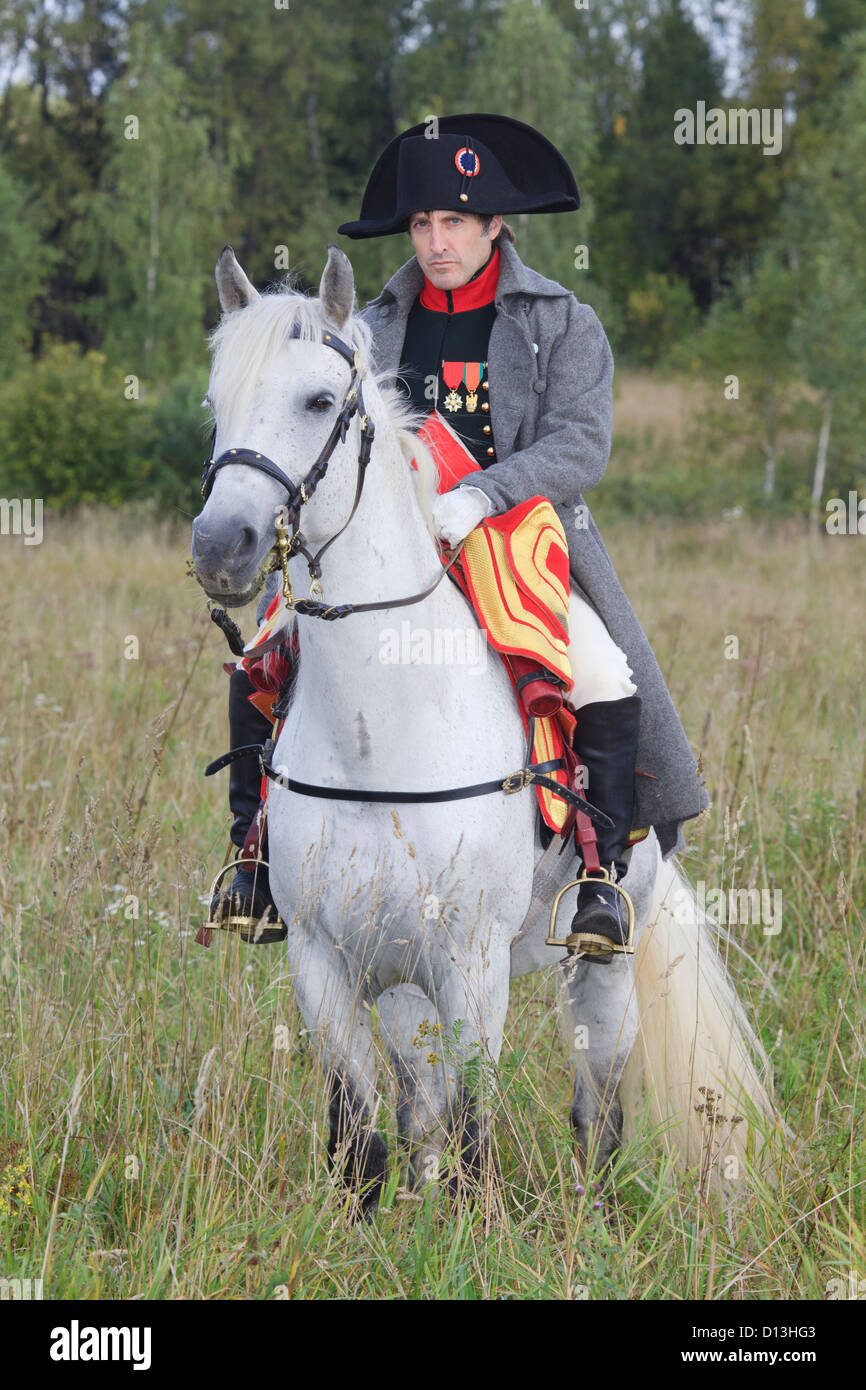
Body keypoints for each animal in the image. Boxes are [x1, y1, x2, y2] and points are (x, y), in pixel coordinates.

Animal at [192, 244, 779, 1215]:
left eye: (318, 400)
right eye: (216, 403)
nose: (221, 547)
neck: (379, 731)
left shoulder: (472, 963)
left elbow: (475, 1138)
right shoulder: (325, 959)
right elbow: (363, 1141)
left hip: (599, 965)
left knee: (597, 1111)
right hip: (403, 981)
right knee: (420, 1106)